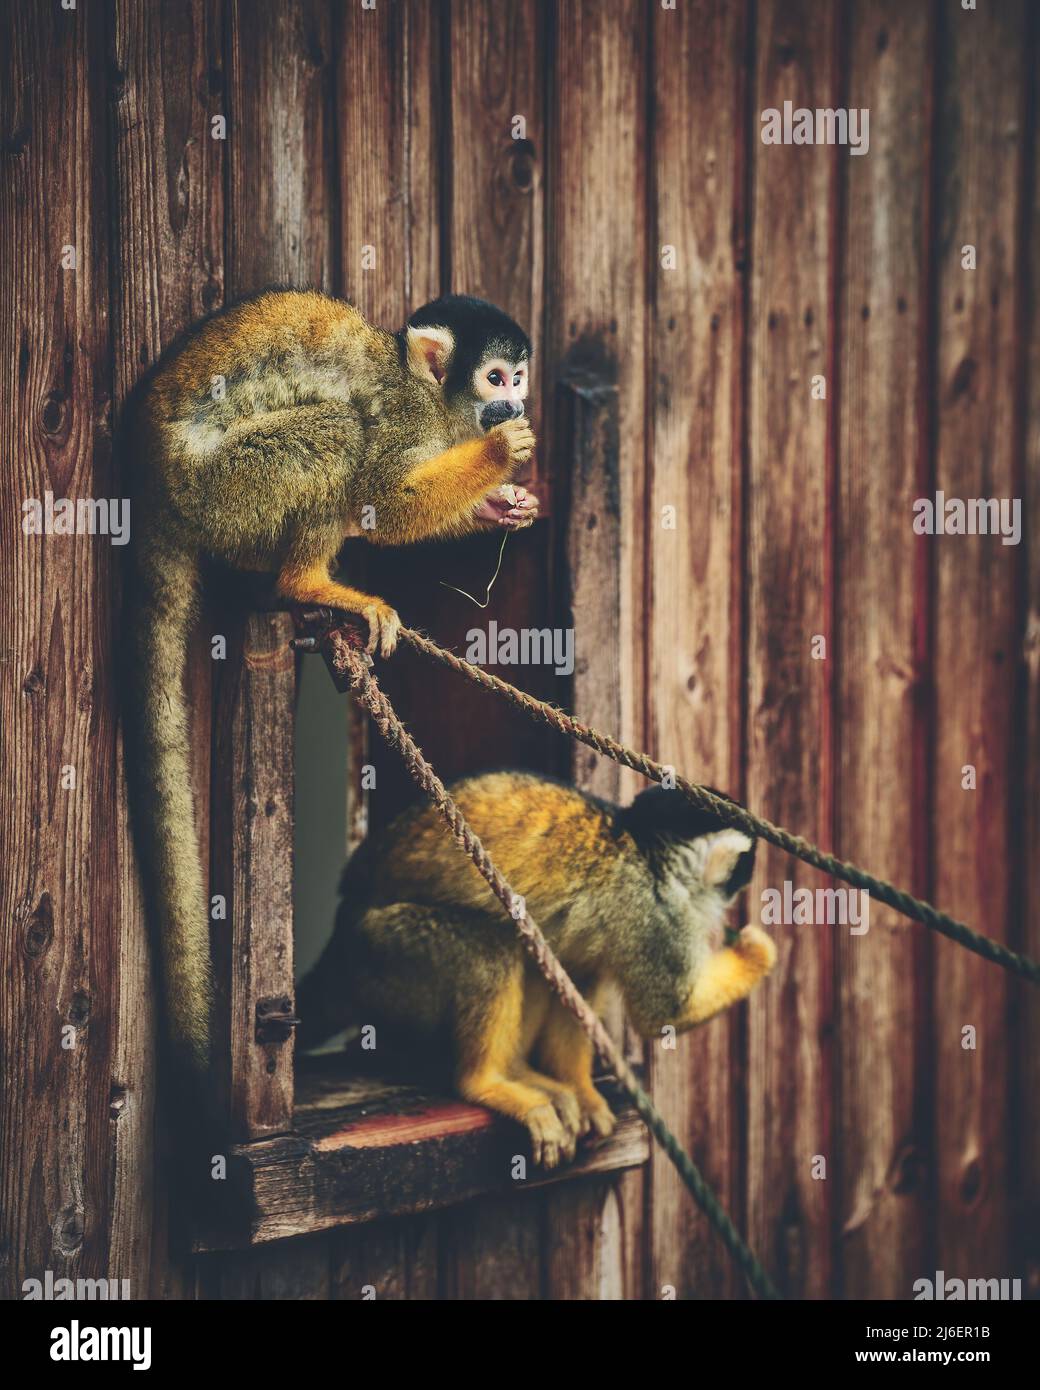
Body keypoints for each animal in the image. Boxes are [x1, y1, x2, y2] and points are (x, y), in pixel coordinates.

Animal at [125, 291, 539, 1102]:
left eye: (518, 376)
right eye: (495, 377)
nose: (513, 402)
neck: (432, 399)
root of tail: (155, 484)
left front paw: (501, 505)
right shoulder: (404, 419)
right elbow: (382, 494)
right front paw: (499, 459)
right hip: (223, 489)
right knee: (339, 434)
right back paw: (306, 581)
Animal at [294, 771, 777, 1168]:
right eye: (739, 874)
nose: (736, 894)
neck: (647, 853)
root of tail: (340, 940)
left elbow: (578, 976)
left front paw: (579, 1085)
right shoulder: (657, 912)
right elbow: (666, 1014)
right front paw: (759, 950)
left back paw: (525, 1073)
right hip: (382, 952)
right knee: (494, 946)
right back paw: (487, 1081)